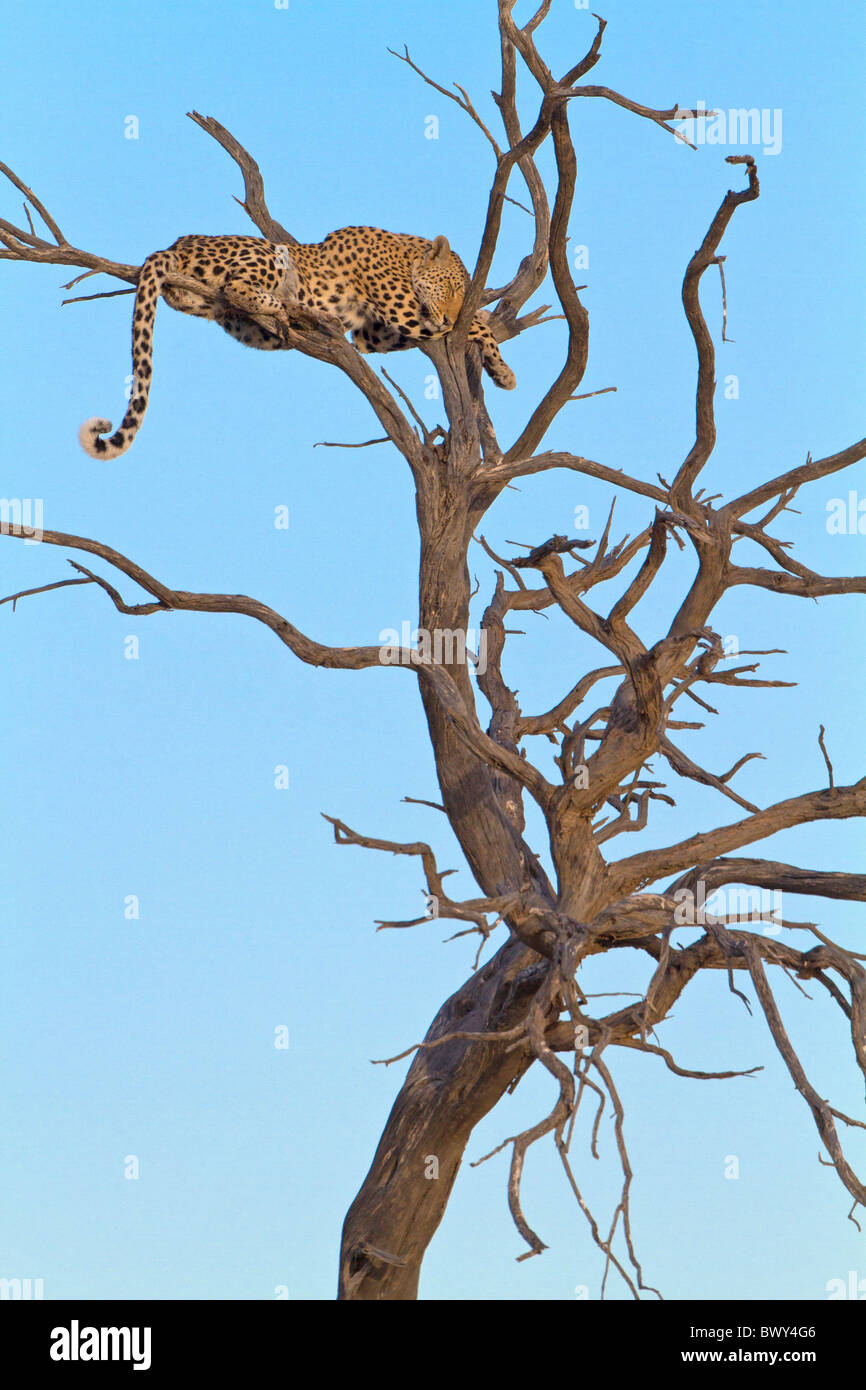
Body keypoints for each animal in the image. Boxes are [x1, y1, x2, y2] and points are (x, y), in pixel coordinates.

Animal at [78, 226, 516, 459]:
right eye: (452, 287)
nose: (447, 315)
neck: (404, 252)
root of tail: (175, 244)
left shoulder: (371, 334)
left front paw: (493, 355)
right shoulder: (402, 312)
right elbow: (471, 328)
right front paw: (504, 370)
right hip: (266, 253)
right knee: (237, 287)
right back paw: (289, 307)